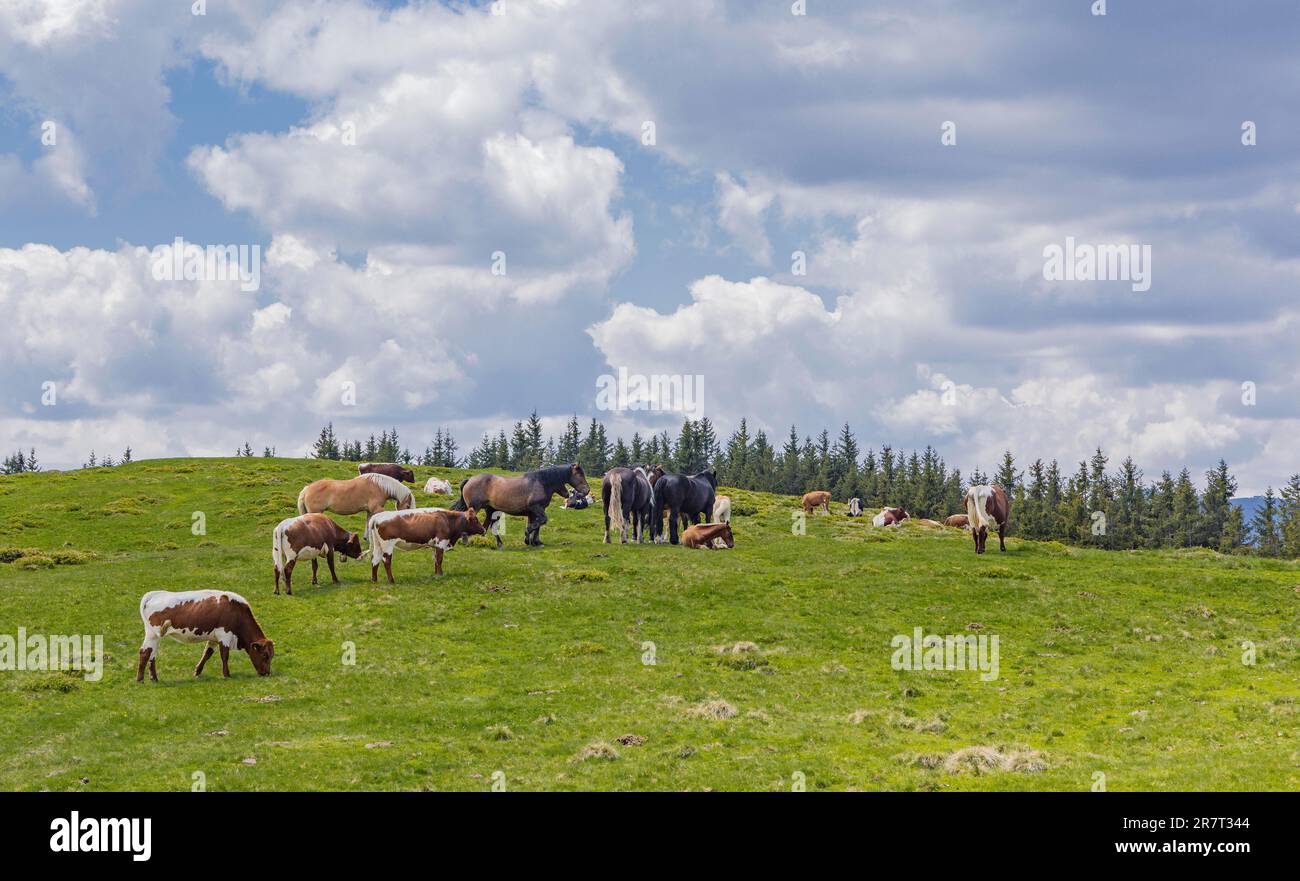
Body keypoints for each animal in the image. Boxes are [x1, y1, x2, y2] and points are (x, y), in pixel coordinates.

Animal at [137, 590, 273, 682]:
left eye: (272, 656)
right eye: (265, 655)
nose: (267, 673)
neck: (237, 611)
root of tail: (154, 594)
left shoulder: (214, 638)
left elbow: (207, 654)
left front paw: (197, 672)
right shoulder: (224, 635)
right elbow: (224, 655)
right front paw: (226, 675)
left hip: (156, 636)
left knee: (152, 654)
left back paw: (154, 678)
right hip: (152, 634)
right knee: (144, 652)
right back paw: (140, 680)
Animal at [453, 463, 589, 547]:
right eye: (580, 474)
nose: (587, 490)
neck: (541, 482)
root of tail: (469, 480)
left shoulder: (534, 511)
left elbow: (538, 524)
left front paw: (535, 541)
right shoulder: (536, 508)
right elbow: (541, 521)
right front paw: (528, 537)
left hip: (492, 510)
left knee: (487, 527)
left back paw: (496, 543)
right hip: (475, 508)